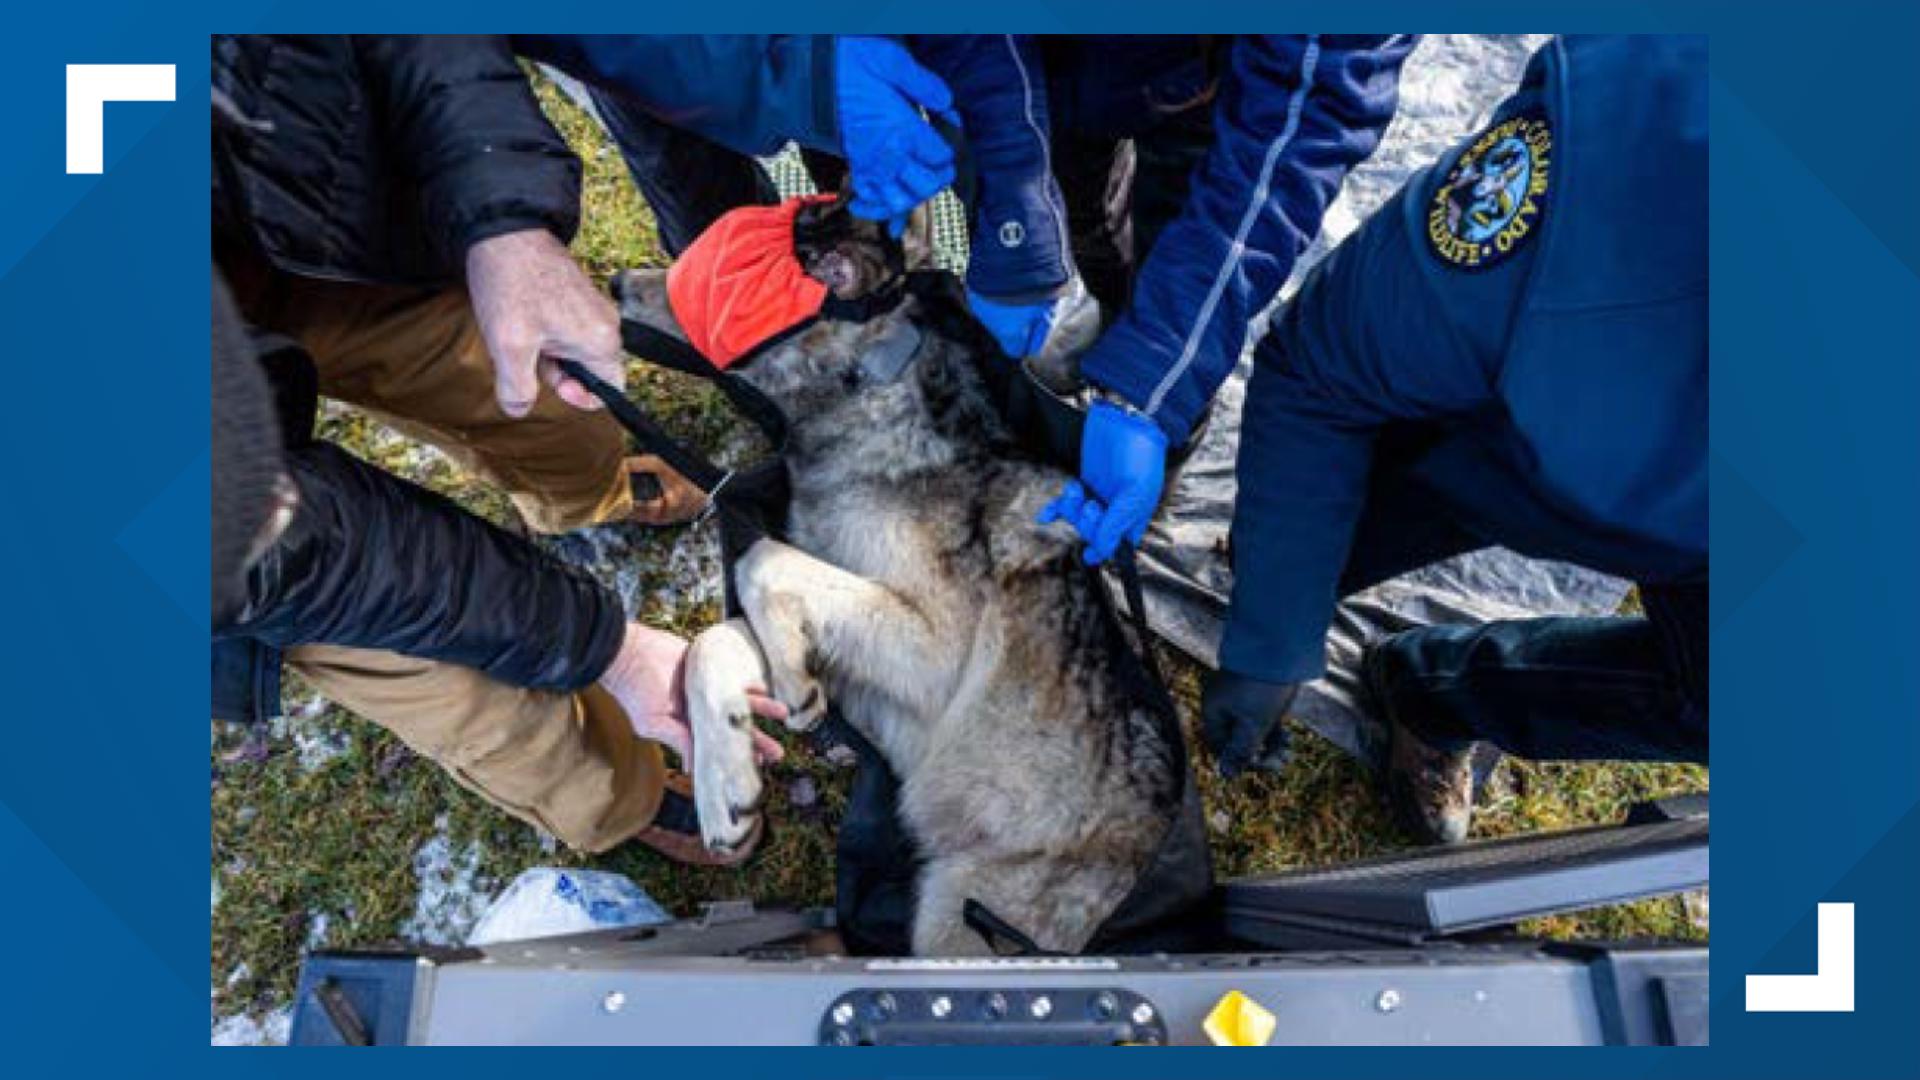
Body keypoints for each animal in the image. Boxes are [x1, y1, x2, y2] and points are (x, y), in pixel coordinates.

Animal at [612, 210, 1190, 956]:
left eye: (697, 292)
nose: (613, 283)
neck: (871, 407)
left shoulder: (931, 651)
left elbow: (761, 560)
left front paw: (791, 691)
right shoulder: (848, 649)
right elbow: (715, 641)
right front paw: (725, 785)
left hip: (954, 922)